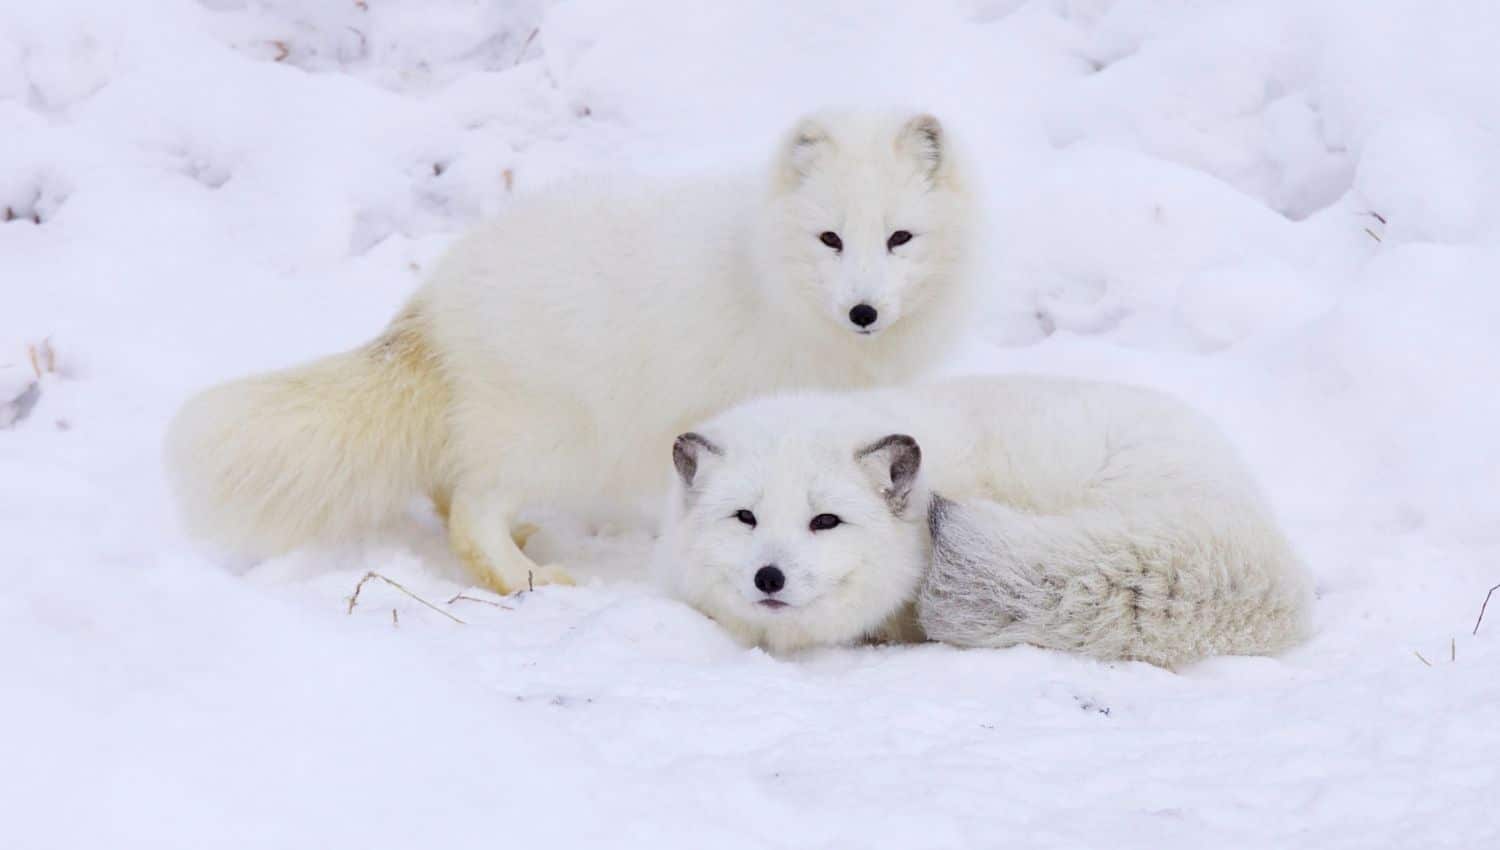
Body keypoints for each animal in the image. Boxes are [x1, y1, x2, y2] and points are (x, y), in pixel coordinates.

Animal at [165, 109, 976, 593]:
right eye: (830, 238)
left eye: (900, 238)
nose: (864, 311)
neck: (770, 274)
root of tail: (436, 298)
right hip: (557, 436)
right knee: (470, 510)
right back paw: (527, 579)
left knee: (450, 487)